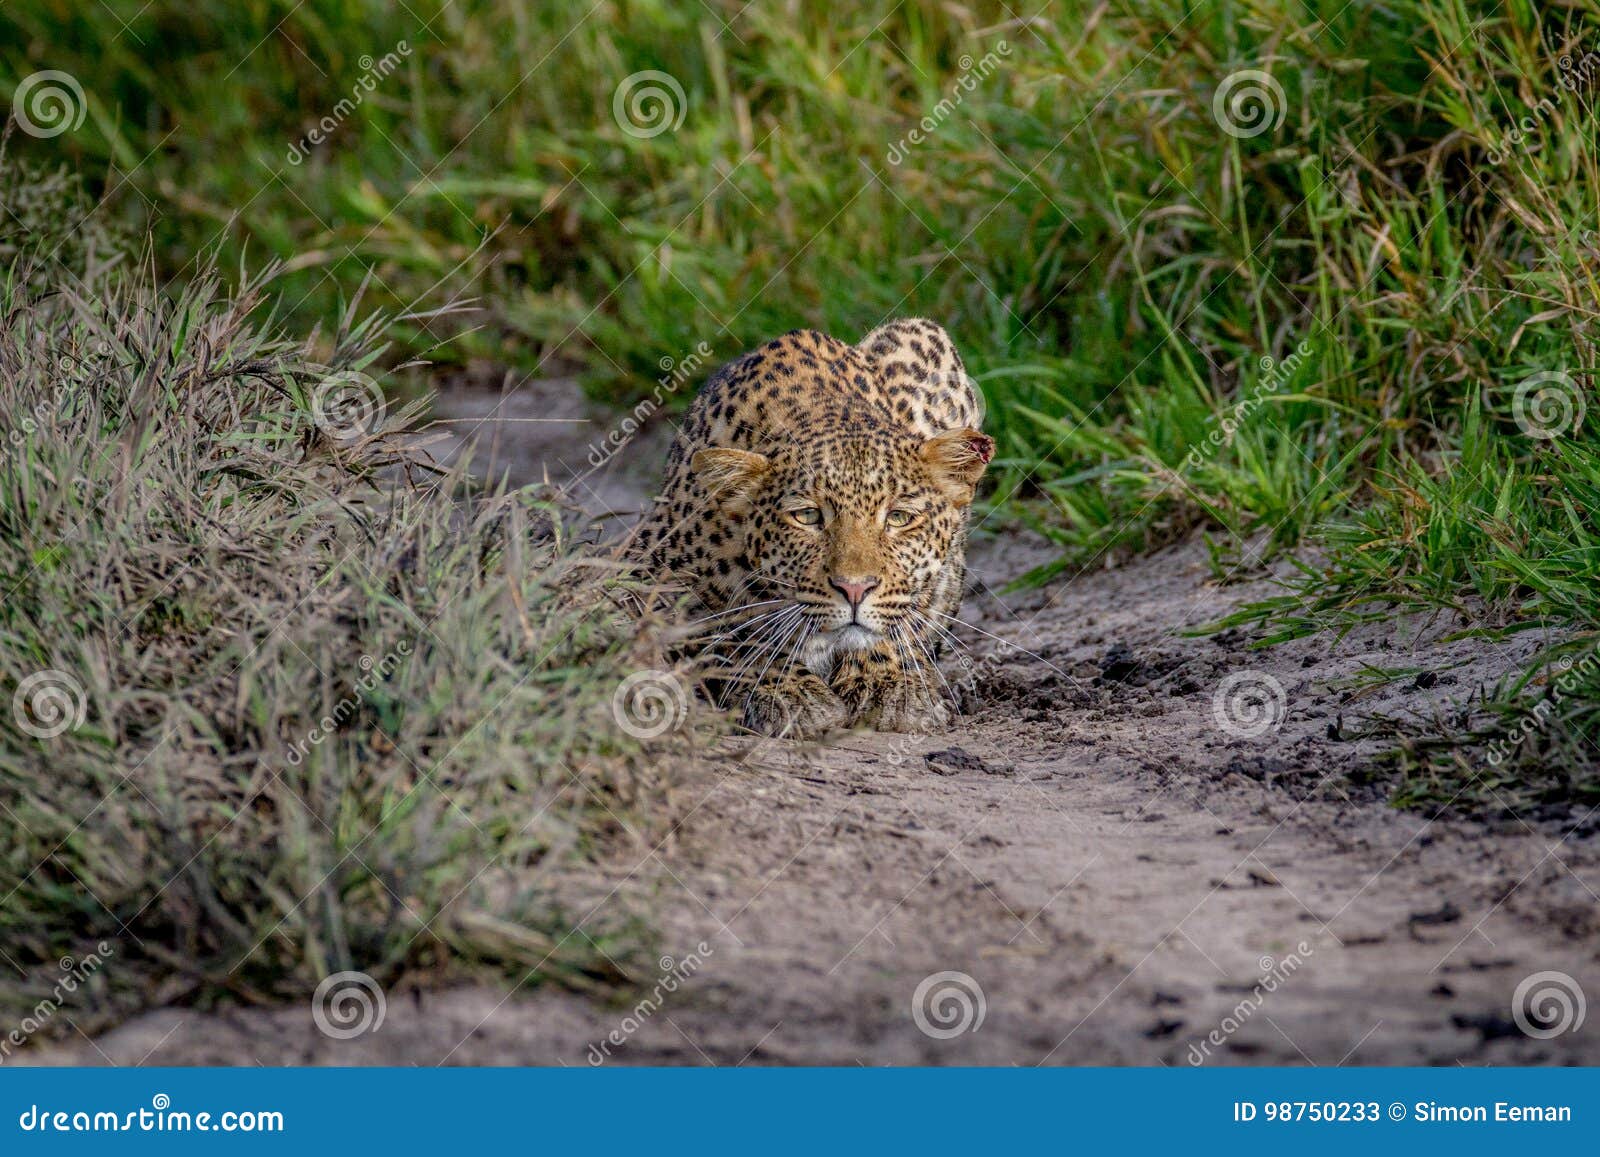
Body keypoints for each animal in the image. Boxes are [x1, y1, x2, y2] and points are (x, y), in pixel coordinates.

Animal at [633, 318, 993, 738]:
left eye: (899, 518)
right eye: (807, 516)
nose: (854, 590)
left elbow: (904, 616)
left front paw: (887, 684)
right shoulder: (645, 579)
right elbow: (728, 636)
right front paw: (790, 692)